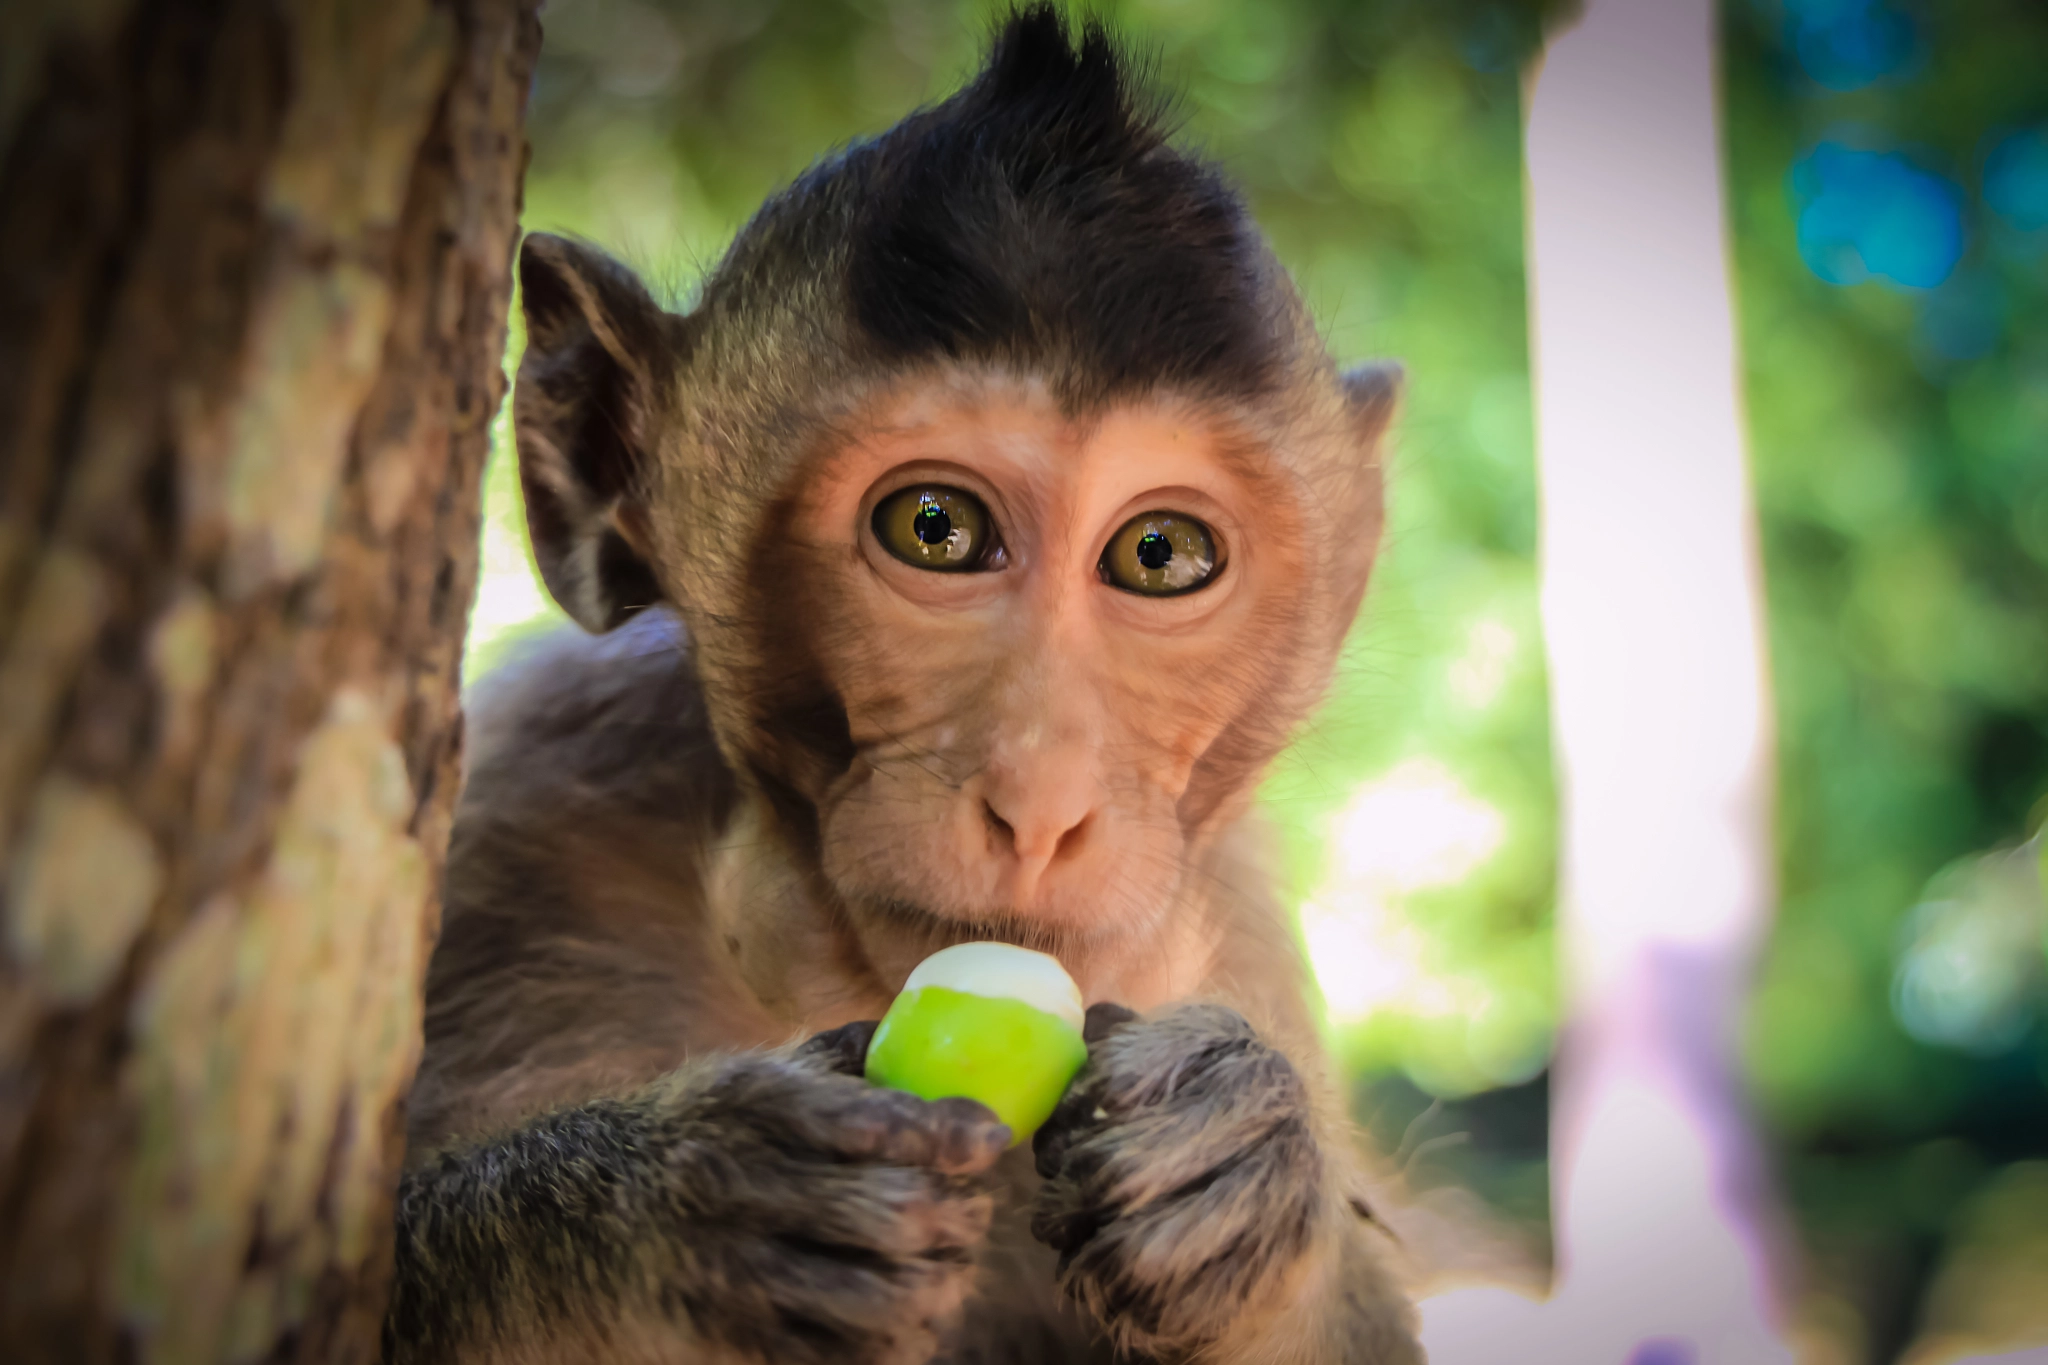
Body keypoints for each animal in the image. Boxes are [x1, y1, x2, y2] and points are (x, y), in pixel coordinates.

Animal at [384, 7, 1420, 1364]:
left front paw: (1244, 1171)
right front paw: (674, 1210)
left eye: (1159, 554)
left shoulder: (1229, 922)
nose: (1040, 802)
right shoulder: (532, 805)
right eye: (934, 528)